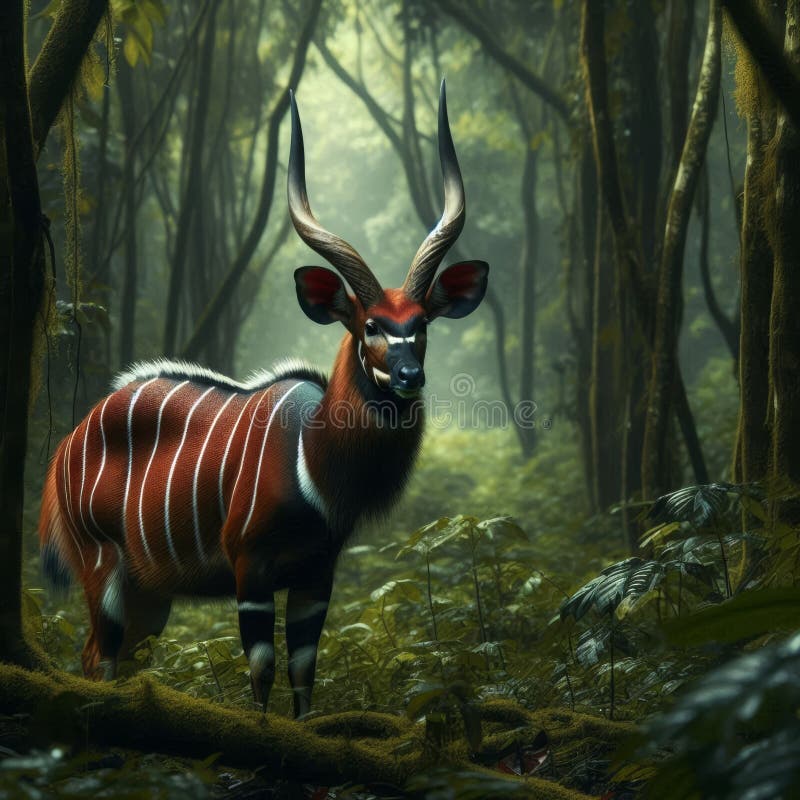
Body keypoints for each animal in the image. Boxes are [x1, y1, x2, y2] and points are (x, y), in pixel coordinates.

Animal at [38, 82, 488, 717]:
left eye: (422, 323)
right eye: (370, 325)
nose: (408, 375)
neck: (312, 460)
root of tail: (67, 445)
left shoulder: (316, 574)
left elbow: (304, 671)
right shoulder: (249, 567)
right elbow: (262, 669)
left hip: (149, 591)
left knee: (117, 659)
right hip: (100, 565)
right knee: (97, 657)